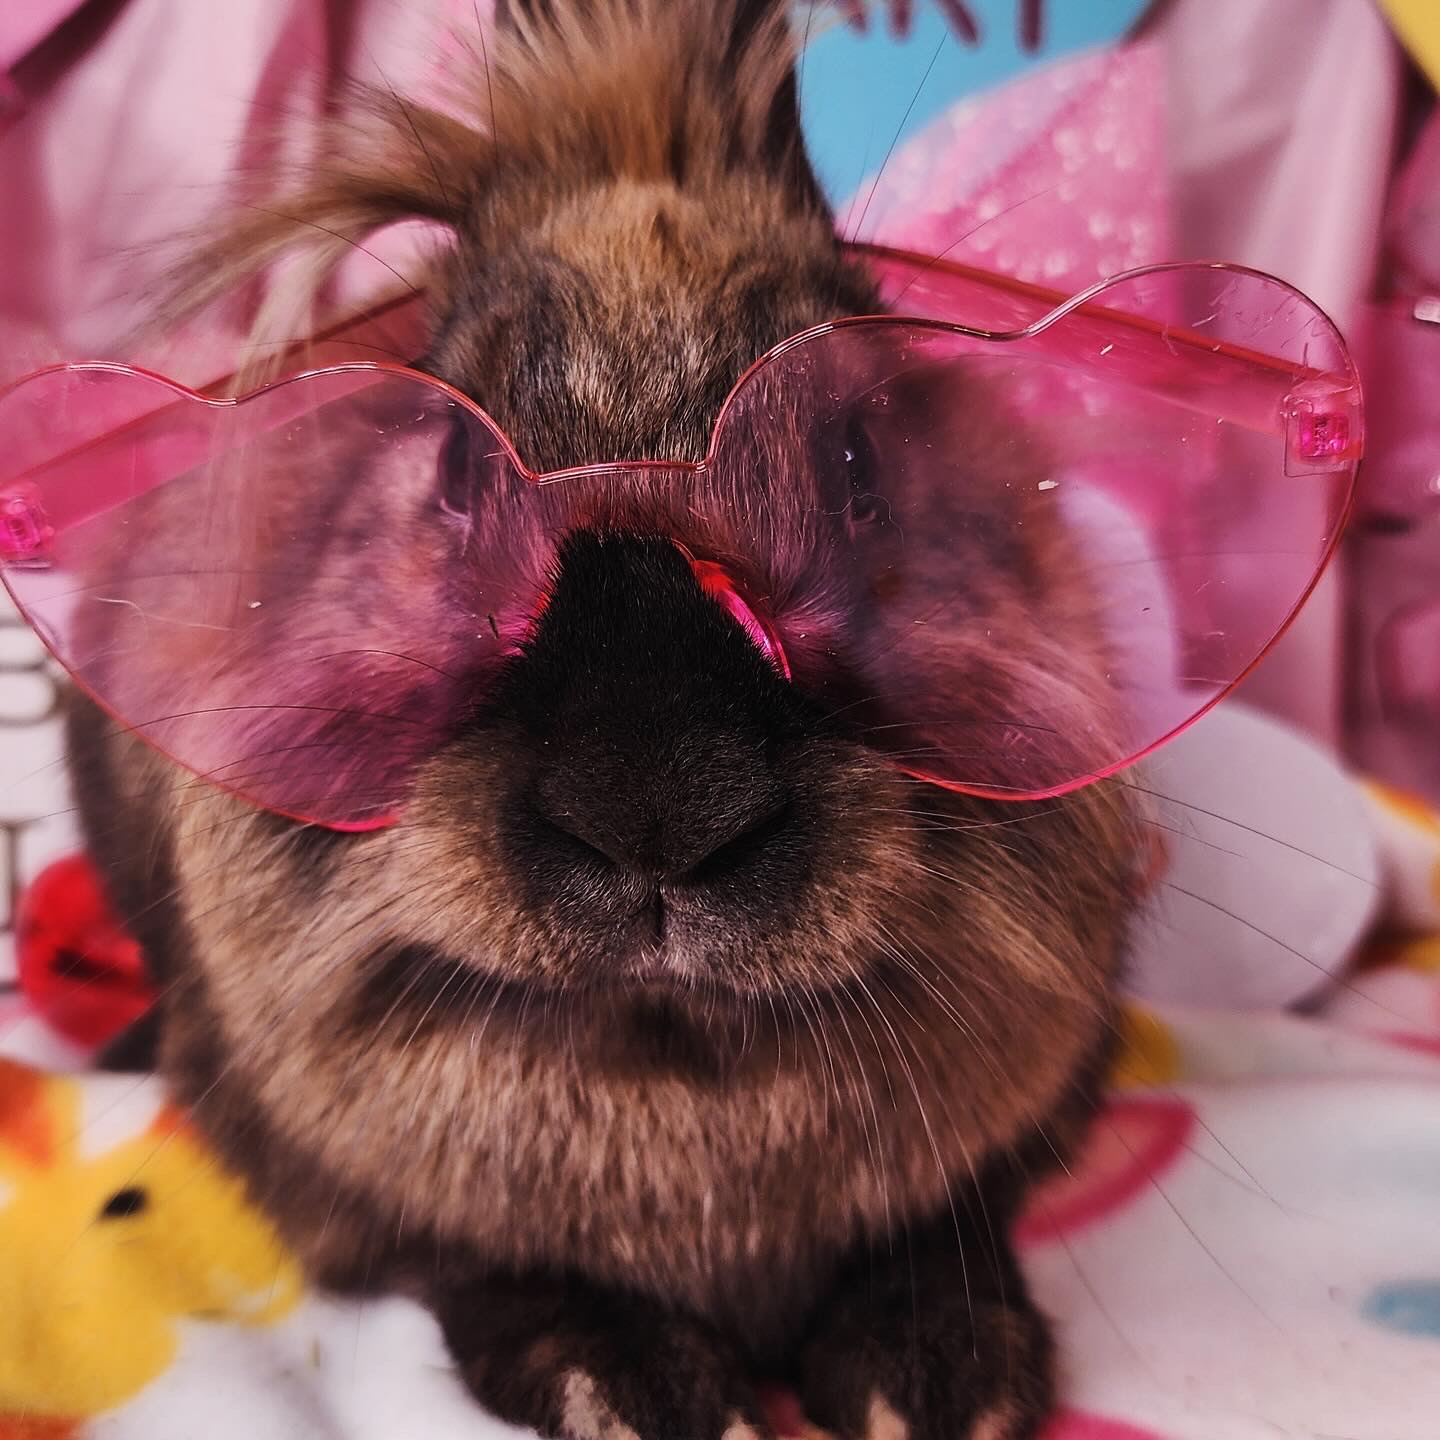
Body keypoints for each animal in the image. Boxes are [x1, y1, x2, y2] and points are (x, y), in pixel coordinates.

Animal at [68, 2, 1141, 1436]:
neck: (671, 1052)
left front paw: (938, 1383)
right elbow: (485, 1264)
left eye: (860, 464)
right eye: (457, 472)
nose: (660, 815)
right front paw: (645, 1389)